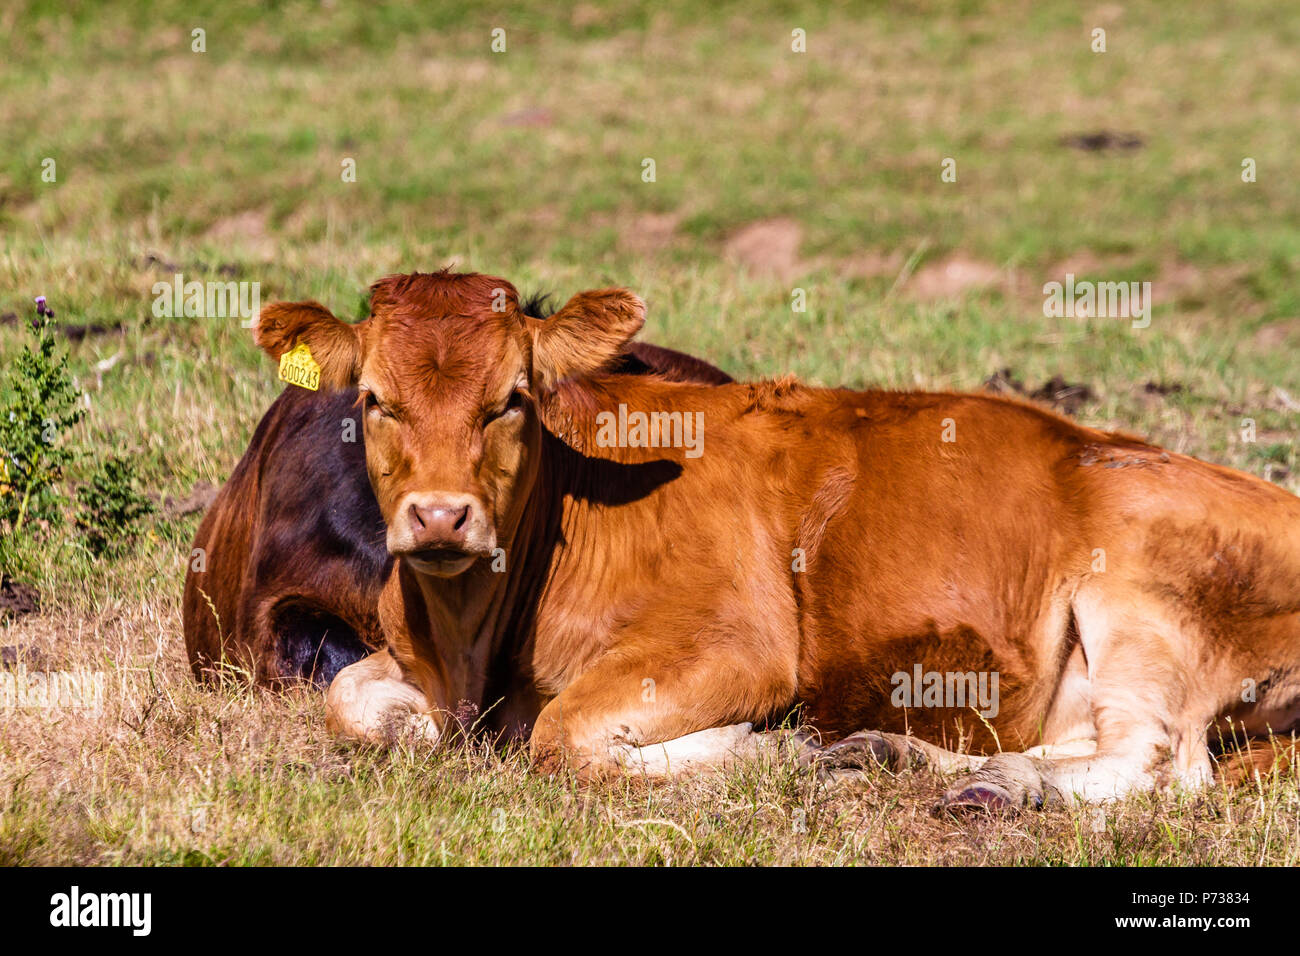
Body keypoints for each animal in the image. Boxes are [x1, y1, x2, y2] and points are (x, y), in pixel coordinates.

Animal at [250, 269, 1300, 811]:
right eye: (372, 400)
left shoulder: (733, 643)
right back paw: (898, 757)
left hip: (1137, 597)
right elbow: (348, 699)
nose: (439, 516)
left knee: (1160, 761)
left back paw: (994, 786)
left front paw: (757, 748)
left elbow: (562, 736)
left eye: (511, 398)